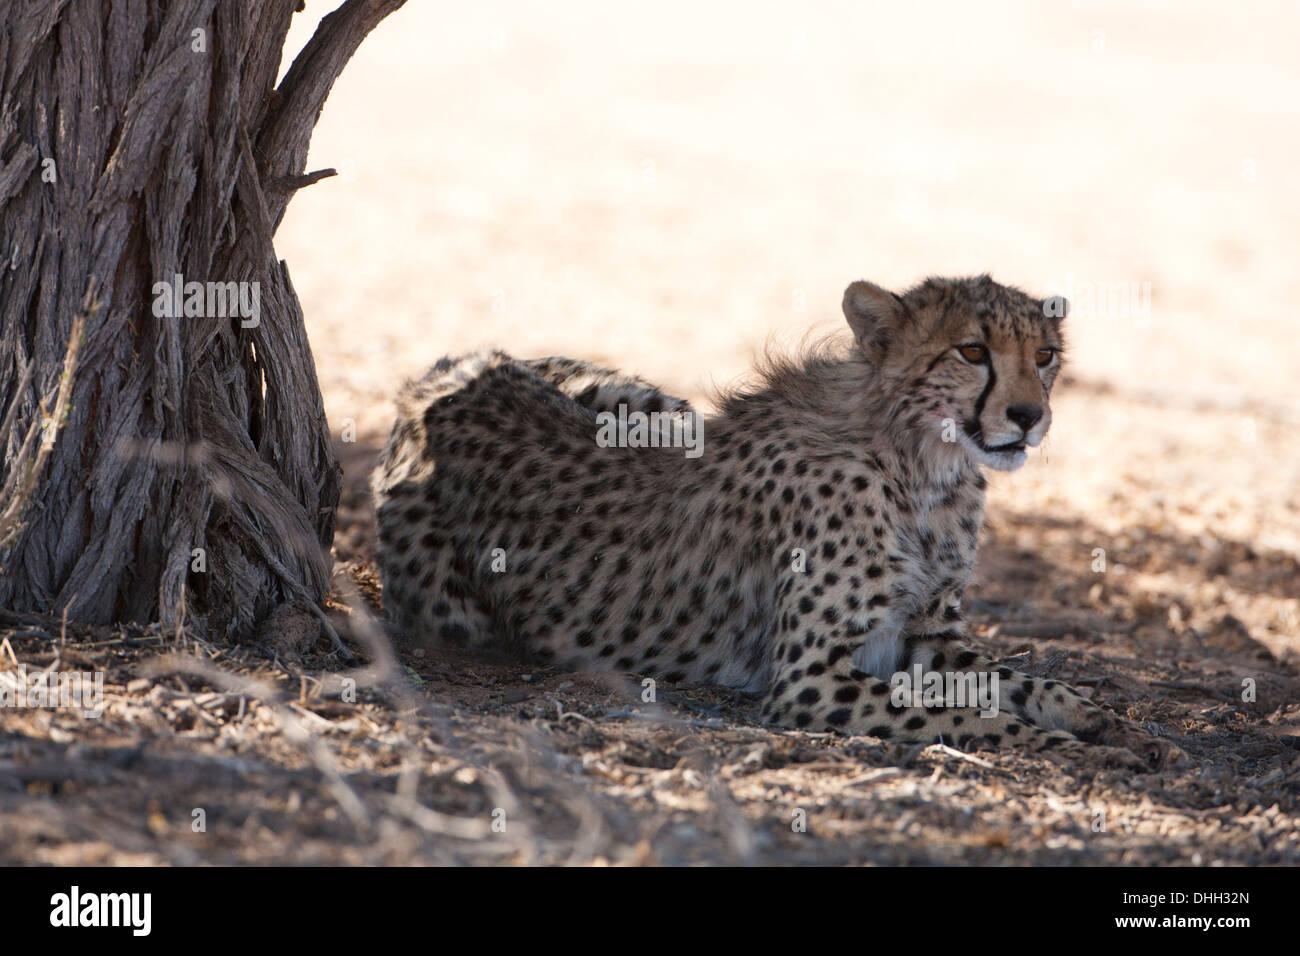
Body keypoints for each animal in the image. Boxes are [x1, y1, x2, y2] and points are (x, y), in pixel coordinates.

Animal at [372, 274, 1169, 770]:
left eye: (1046, 356)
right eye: (972, 351)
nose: (1030, 416)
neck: (924, 468)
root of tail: (443, 376)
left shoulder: (931, 641)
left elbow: (1020, 681)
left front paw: (1104, 721)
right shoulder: (811, 680)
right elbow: (977, 718)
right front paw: (1075, 752)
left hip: (661, 407)